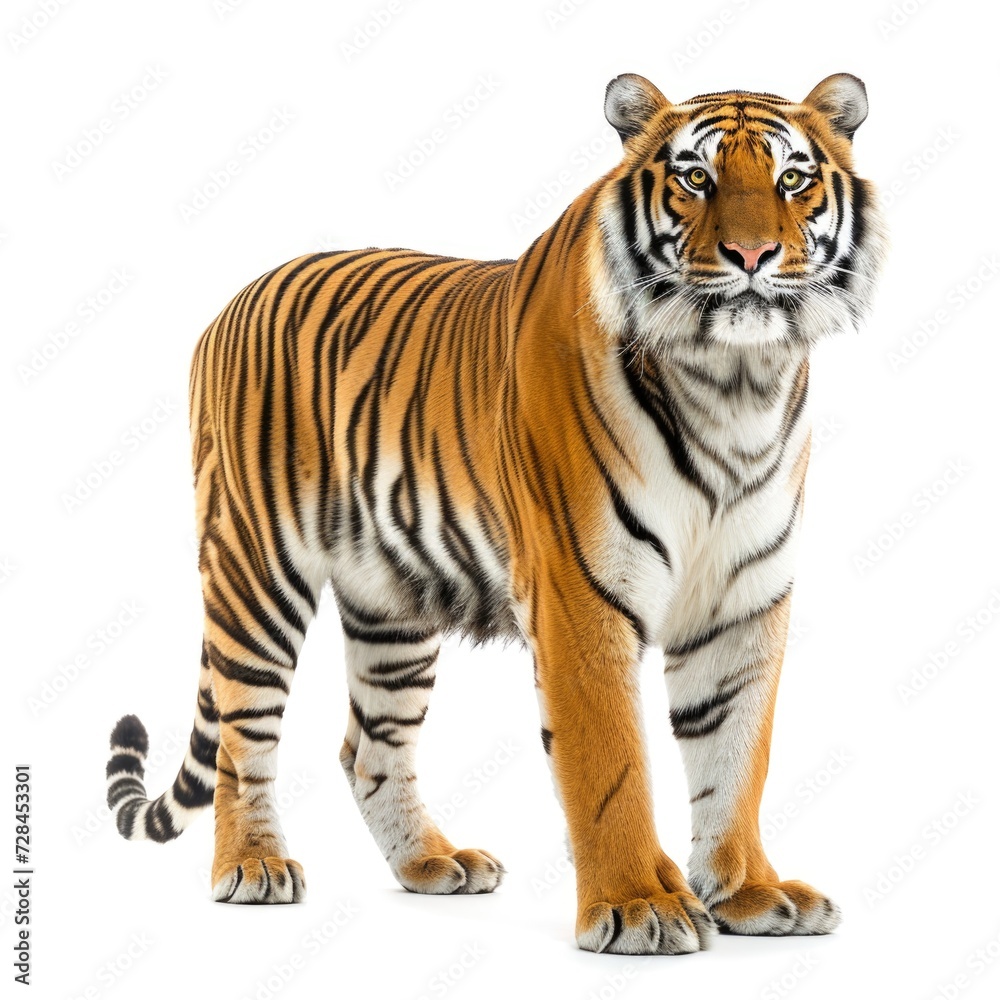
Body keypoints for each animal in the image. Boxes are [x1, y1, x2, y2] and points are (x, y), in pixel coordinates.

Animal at [105, 71, 885, 955]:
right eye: (695, 178)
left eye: (792, 179)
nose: (752, 257)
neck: (733, 382)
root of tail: (232, 301)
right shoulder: (581, 593)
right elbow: (609, 763)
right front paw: (637, 905)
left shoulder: (745, 600)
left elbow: (736, 756)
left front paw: (752, 892)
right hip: (255, 569)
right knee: (245, 737)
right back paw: (254, 866)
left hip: (391, 605)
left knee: (367, 748)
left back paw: (431, 864)